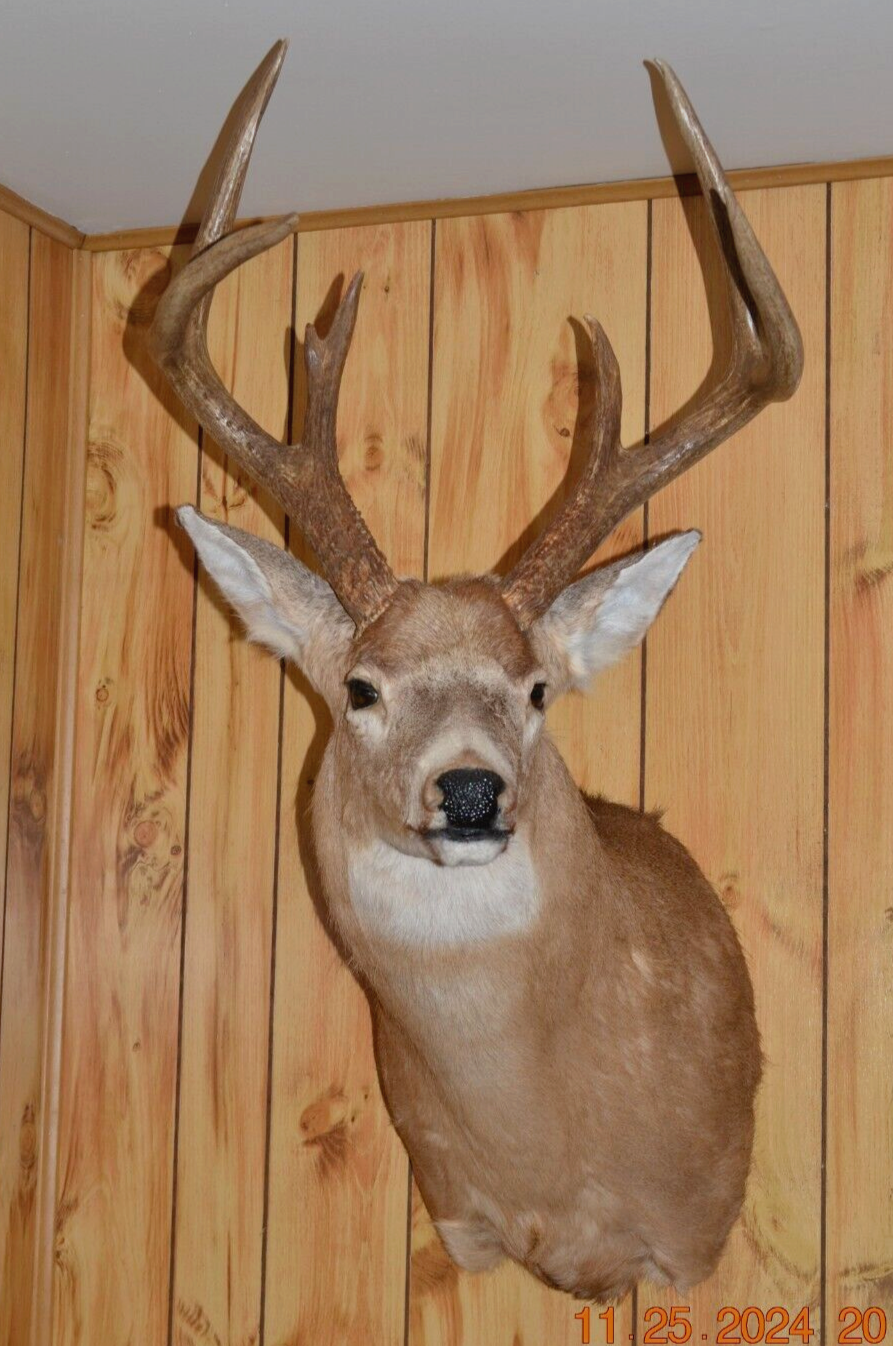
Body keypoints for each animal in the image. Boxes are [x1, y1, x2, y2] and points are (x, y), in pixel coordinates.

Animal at [148, 41, 802, 1301]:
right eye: (360, 687)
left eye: (537, 687)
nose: (466, 788)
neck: (550, 1154)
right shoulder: (455, 1215)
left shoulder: (692, 1231)